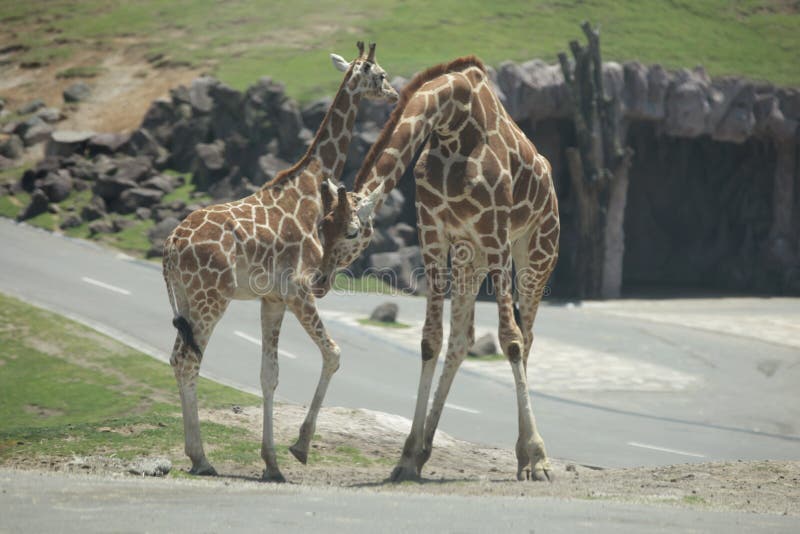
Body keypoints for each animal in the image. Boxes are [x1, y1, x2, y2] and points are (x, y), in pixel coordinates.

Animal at [162, 42, 398, 482]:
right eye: (381, 75)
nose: (393, 96)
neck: (309, 187)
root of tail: (167, 249)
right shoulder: (299, 288)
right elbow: (333, 353)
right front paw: (300, 447)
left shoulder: (272, 298)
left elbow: (268, 375)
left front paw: (271, 462)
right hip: (209, 299)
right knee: (188, 360)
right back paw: (201, 458)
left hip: (186, 300)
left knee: (177, 357)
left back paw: (197, 455)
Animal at [318, 56, 560, 482]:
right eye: (321, 226)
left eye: (351, 232)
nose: (318, 281)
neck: (453, 124)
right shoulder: (433, 230)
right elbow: (431, 339)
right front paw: (407, 456)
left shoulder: (495, 231)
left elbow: (511, 340)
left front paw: (539, 459)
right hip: (469, 255)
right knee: (463, 339)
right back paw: (431, 450)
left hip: (536, 251)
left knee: (526, 337)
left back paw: (525, 457)